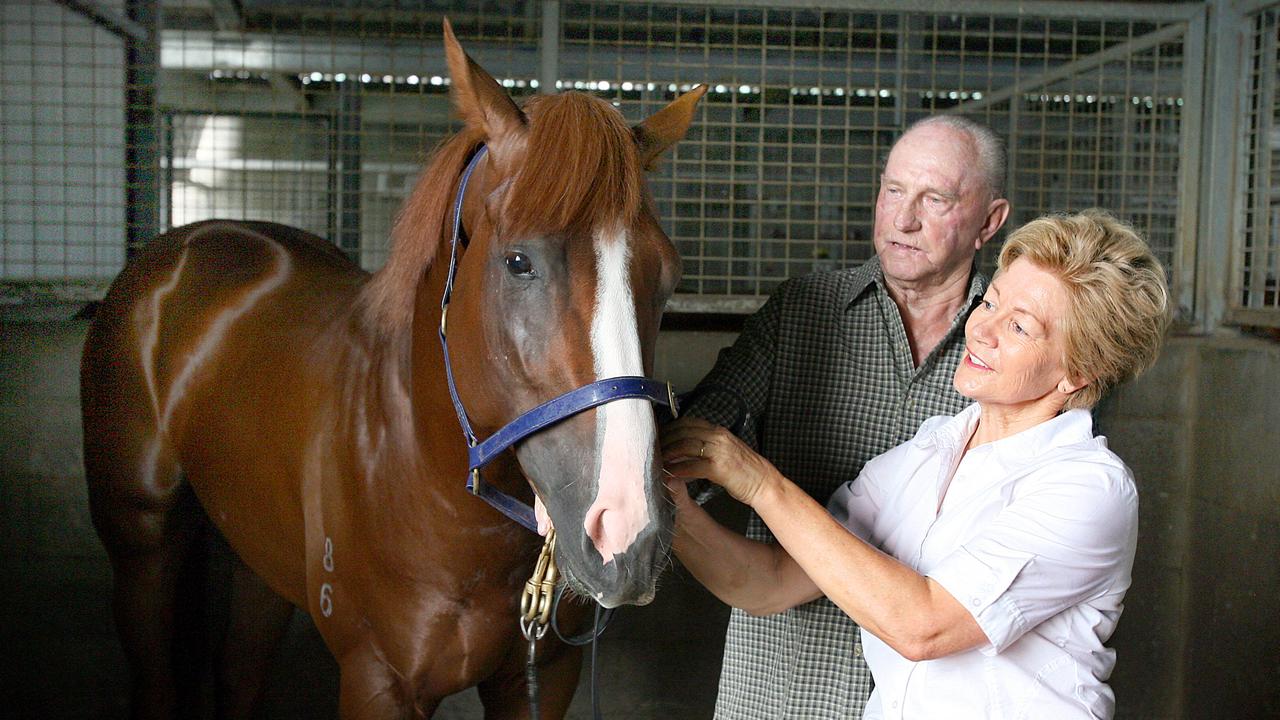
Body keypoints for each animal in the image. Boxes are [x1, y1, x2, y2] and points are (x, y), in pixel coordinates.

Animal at [81, 19, 706, 712]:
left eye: (668, 274)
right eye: (518, 262)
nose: (630, 532)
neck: (420, 468)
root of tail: (194, 239)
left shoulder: (539, 677)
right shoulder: (377, 680)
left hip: (256, 552)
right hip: (141, 542)